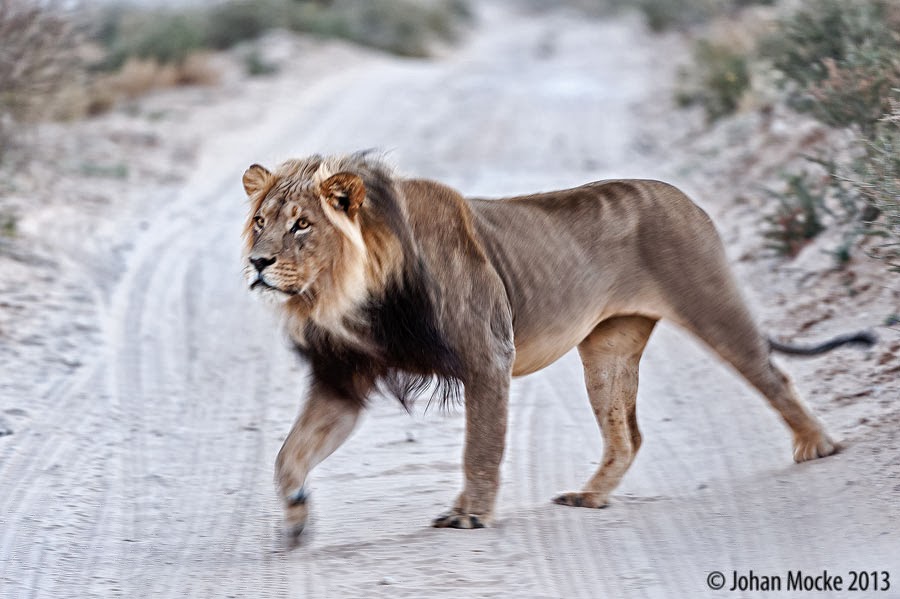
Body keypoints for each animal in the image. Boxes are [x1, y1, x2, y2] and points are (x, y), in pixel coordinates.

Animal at [241, 152, 874, 539]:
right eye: (261, 222)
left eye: (302, 225)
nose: (257, 262)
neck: (345, 295)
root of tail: (685, 199)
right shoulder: (343, 380)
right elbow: (289, 454)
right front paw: (295, 518)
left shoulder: (487, 355)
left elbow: (480, 448)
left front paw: (469, 516)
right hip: (606, 349)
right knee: (628, 434)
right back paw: (590, 497)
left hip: (709, 301)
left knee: (770, 372)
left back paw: (817, 445)